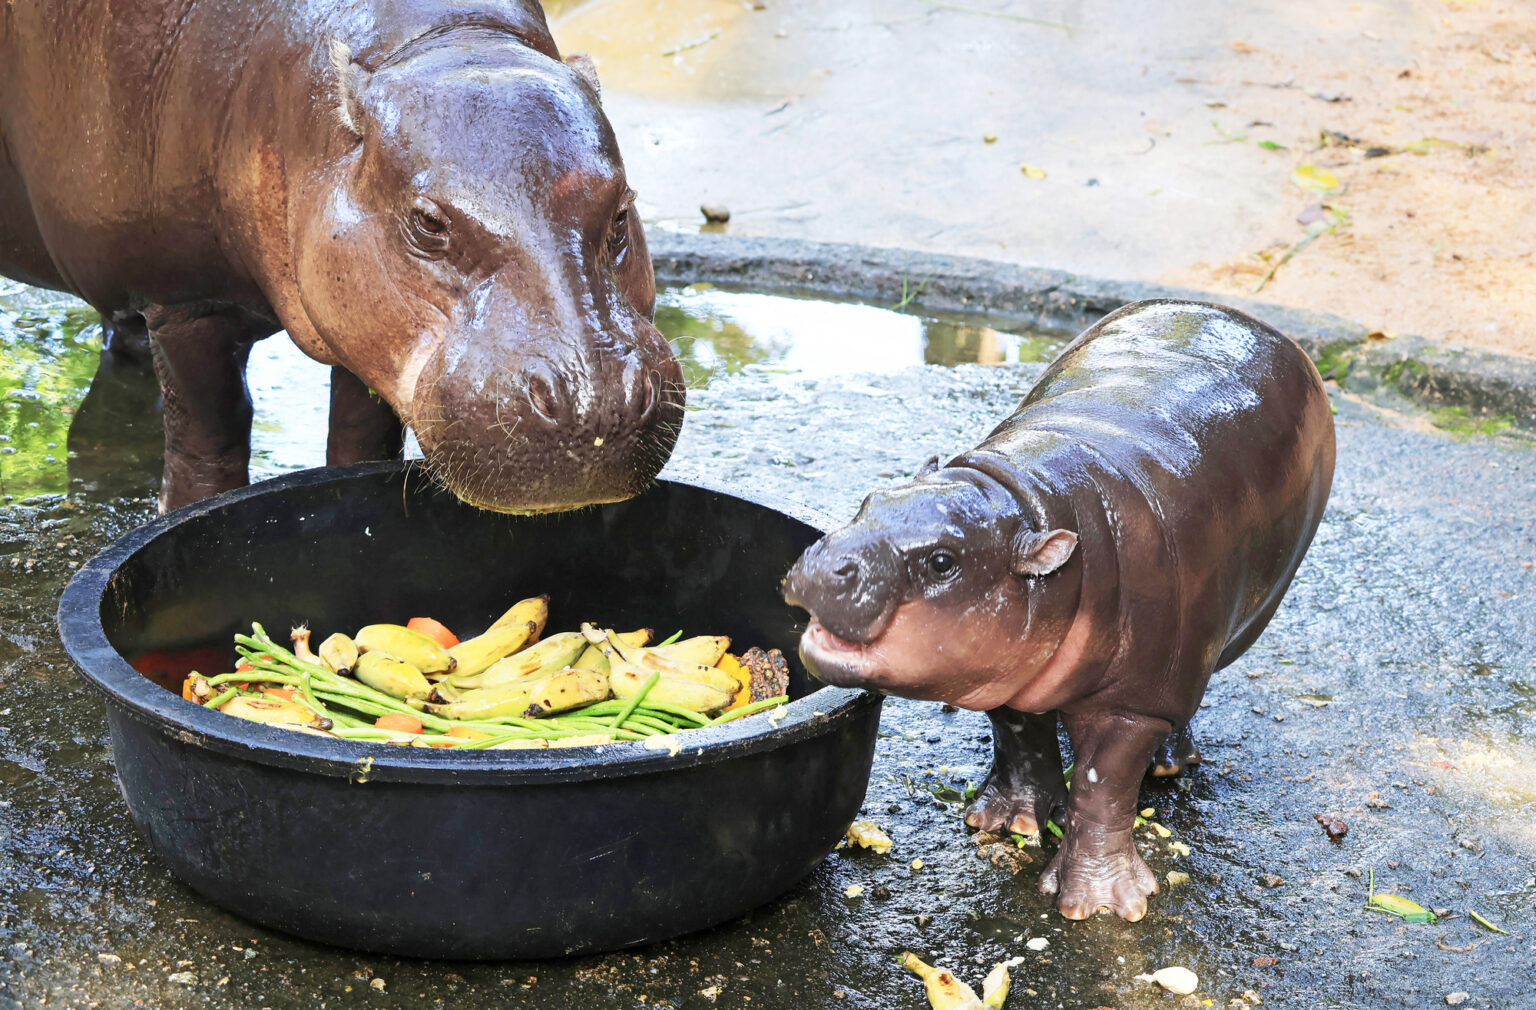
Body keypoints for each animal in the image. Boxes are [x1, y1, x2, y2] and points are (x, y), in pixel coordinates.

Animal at [0, 0, 682, 513]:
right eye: (428, 222)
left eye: (622, 209)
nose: (597, 402)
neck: (454, 43)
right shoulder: (185, 297)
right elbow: (209, 439)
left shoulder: (362, 327)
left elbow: (360, 438)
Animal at [784, 299, 1335, 921]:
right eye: (871, 499)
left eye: (943, 562)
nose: (827, 561)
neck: (1031, 500)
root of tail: (1251, 321)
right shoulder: (1009, 669)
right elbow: (1020, 737)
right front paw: (1002, 823)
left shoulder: (1131, 706)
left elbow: (1103, 785)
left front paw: (1102, 903)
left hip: (1227, 630)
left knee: (1191, 689)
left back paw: (1169, 762)